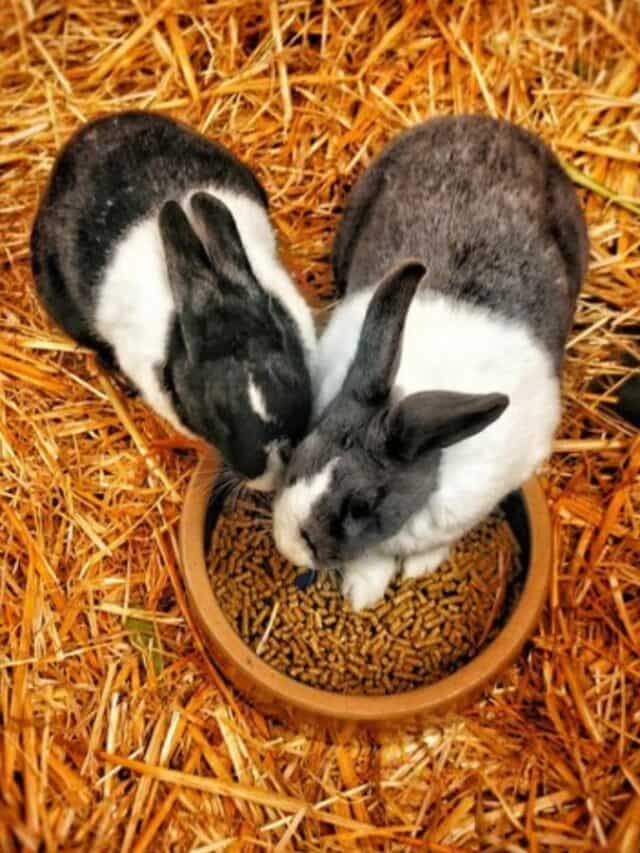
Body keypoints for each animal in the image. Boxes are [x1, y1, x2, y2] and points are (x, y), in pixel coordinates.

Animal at [273, 115, 588, 609]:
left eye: (362, 505)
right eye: (304, 447)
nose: (288, 545)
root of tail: (488, 123)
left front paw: (418, 568)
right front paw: (364, 592)